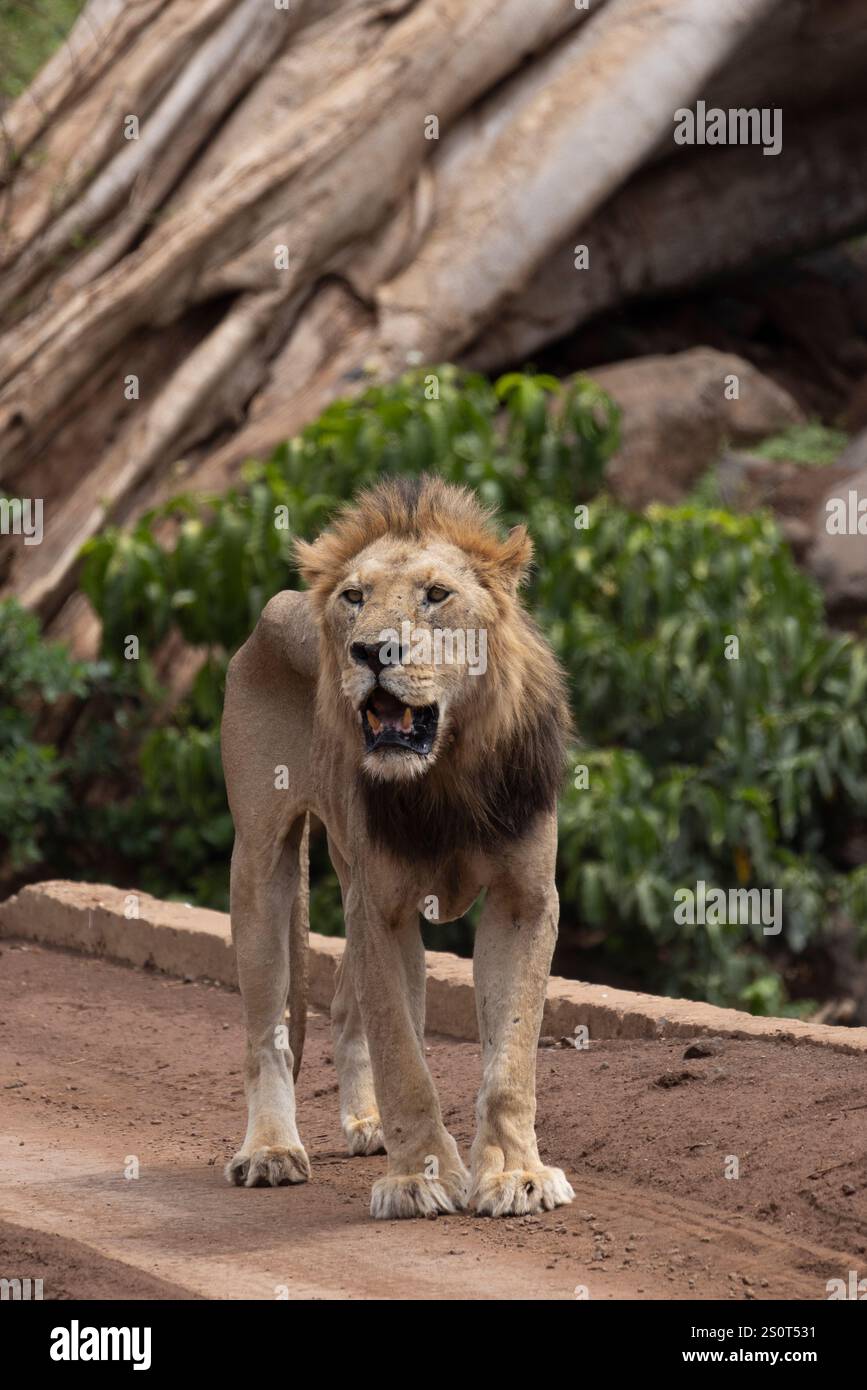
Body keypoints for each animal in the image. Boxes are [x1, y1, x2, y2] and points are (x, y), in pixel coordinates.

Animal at [220, 475, 575, 1218]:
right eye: (354, 598)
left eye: (436, 595)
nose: (369, 652)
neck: (446, 771)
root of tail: (281, 604)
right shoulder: (381, 905)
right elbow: (404, 1058)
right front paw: (420, 1177)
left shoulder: (524, 900)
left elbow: (511, 1057)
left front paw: (515, 1175)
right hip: (263, 859)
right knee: (268, 1029)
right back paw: (270, 1149)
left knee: (344, 1005)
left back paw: (368, 1123)